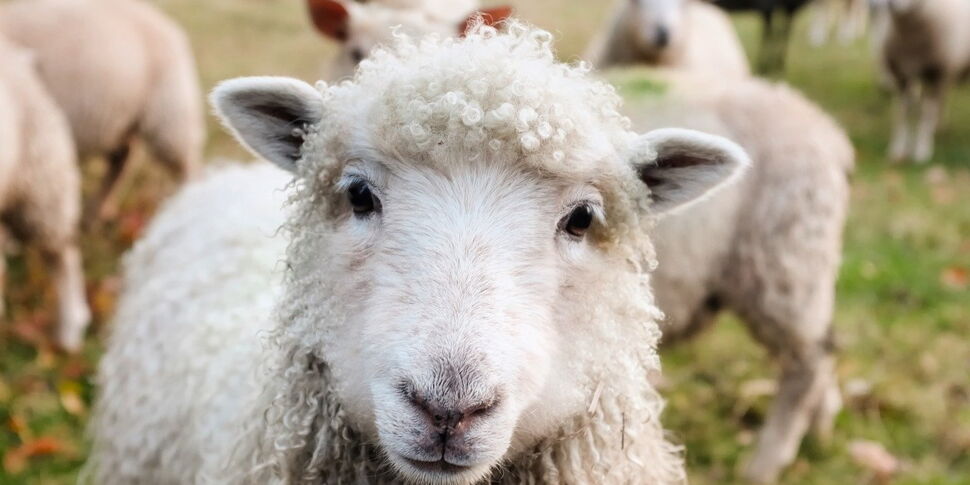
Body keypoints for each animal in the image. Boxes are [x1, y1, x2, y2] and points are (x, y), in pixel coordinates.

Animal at [0, 0, 204, 222]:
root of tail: (167, 24)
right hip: (120, 118)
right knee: (122, 159)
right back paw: (98, 210)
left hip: (170, 112)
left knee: (186, 164)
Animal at [876, 0, 970, 163]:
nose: (889, 4)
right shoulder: (901, 76)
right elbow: (902, 113)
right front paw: (899, 149)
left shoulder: (934, 75)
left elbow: (926, 113)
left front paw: (922, 150)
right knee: (943, 98)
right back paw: (939, 127)